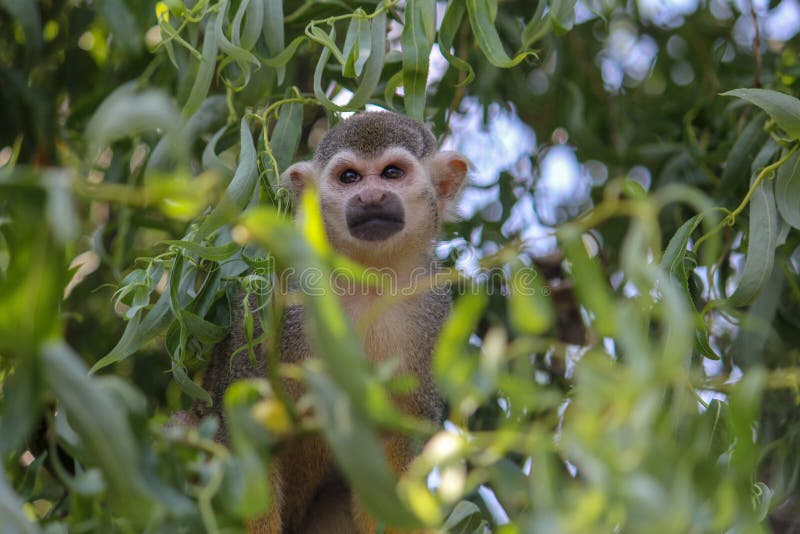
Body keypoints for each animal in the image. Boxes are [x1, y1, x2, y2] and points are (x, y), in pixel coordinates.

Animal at [187, 111, 470, 533]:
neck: (367, 277)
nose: (370, 197)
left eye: (392, 173)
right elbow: (244, 419)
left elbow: (394, 438)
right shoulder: (275, 296)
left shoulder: (433, 312)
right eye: (349, 177)